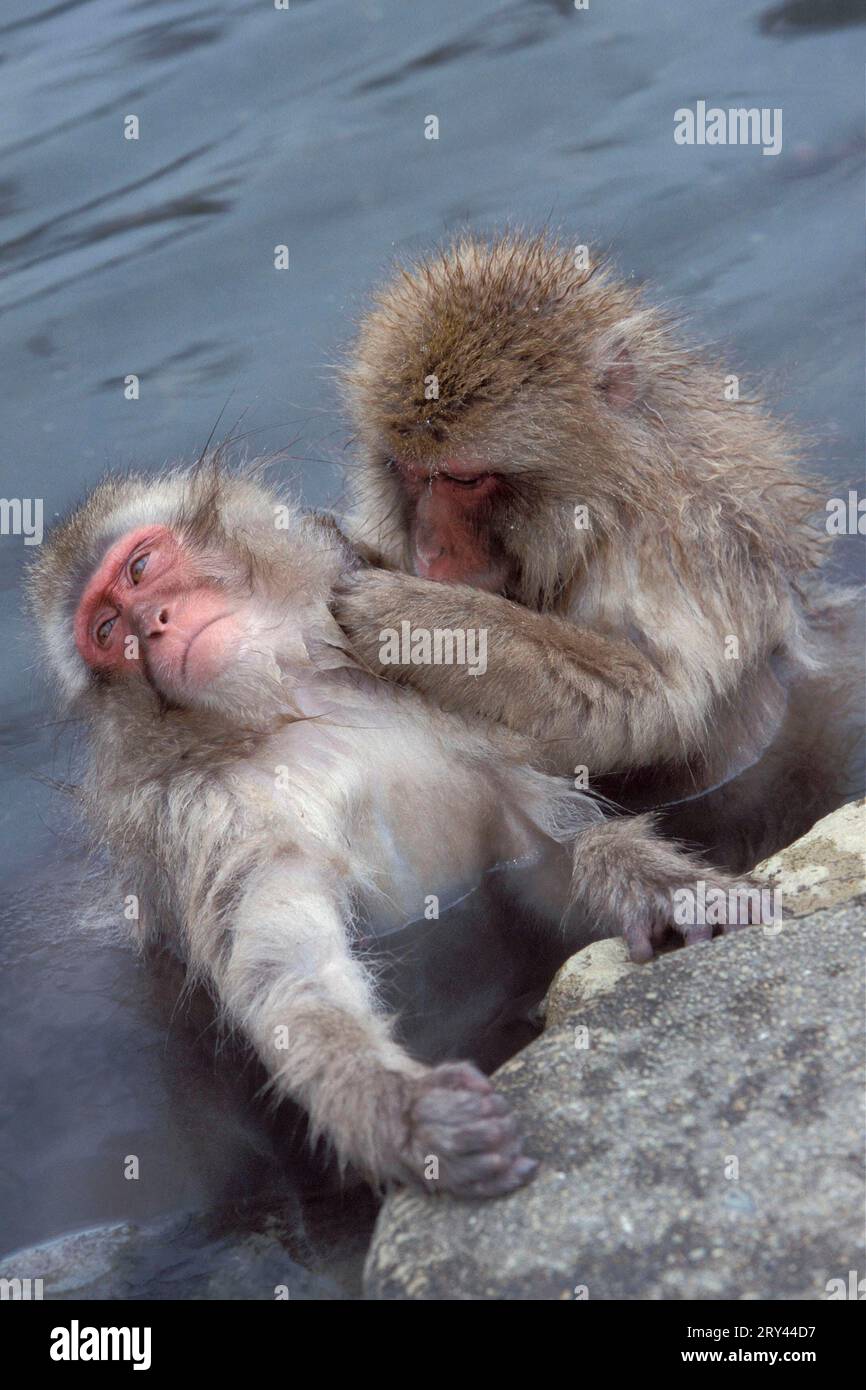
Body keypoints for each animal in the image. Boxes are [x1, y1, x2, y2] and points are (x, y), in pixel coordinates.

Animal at [27, 459, 754, 1199]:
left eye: (142, 568)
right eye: (108, 631)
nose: (154, 626)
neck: (289, 706)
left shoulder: (441, 704)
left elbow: (552, 849)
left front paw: (669, 892)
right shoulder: (203, 816)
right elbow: (290, 971)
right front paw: (400, 1112)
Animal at [334, 232, 863, 872]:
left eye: (464, 479)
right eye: (408, 472)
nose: (428, 550)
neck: (604, 506)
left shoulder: (677, 541)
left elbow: (662, 704)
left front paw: (419, 623)